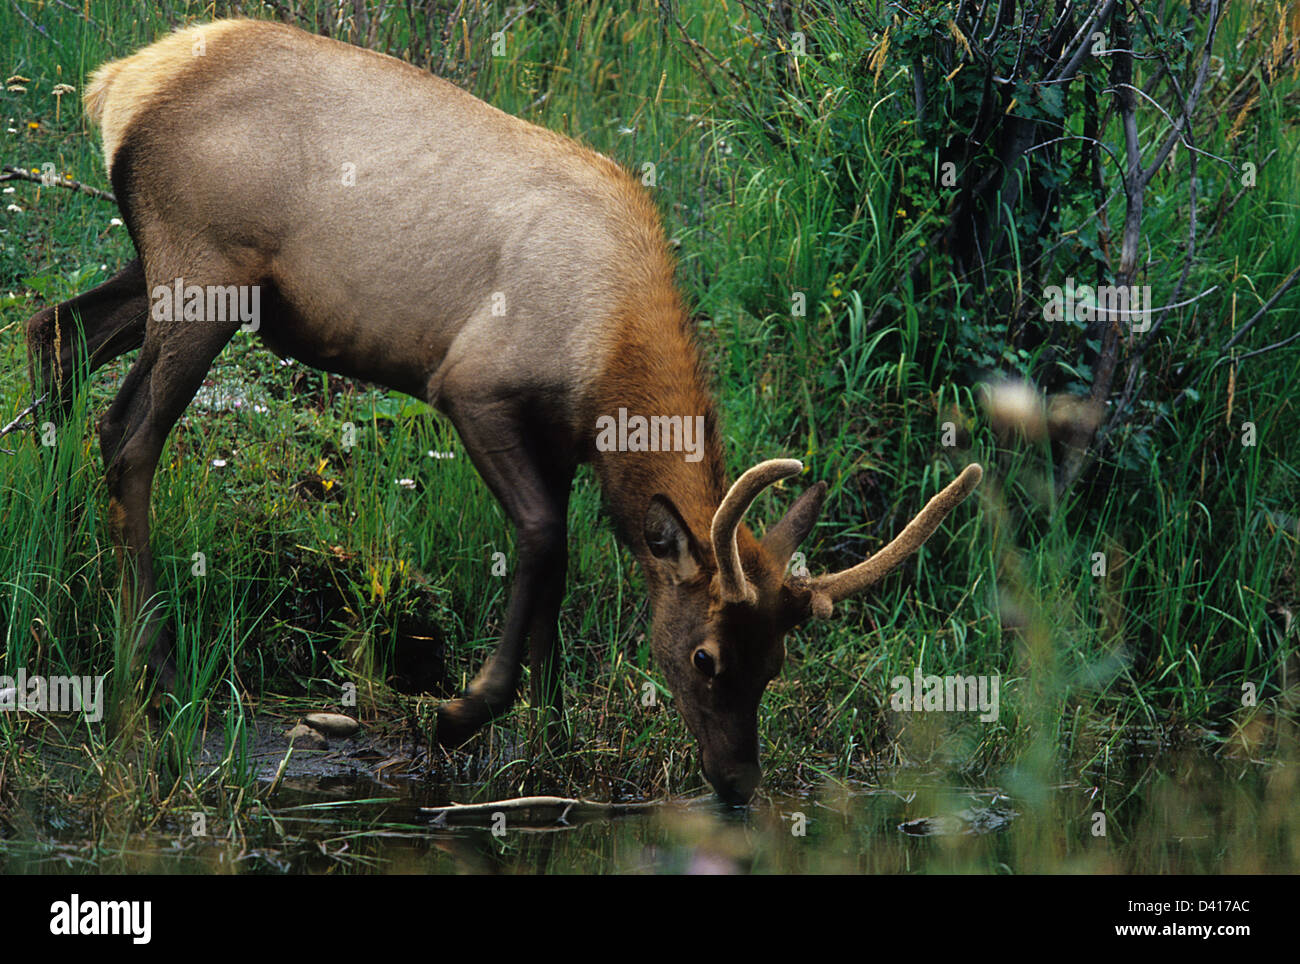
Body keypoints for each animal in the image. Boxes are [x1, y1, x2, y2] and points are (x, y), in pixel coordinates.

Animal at [24, 18, 982, 804]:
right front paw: (461, 713)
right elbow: (543, 539)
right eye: (707, 657)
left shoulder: (562, 441)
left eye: (777, 661)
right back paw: (150, 662)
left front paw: (551, 733)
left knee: (52, 331)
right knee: (128, 432)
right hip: (205, 270)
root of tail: (117, 83)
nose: (740, 780)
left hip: (165, 269)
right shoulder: (474, 387)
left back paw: (47, 551)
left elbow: (557, 567)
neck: (608, 363)